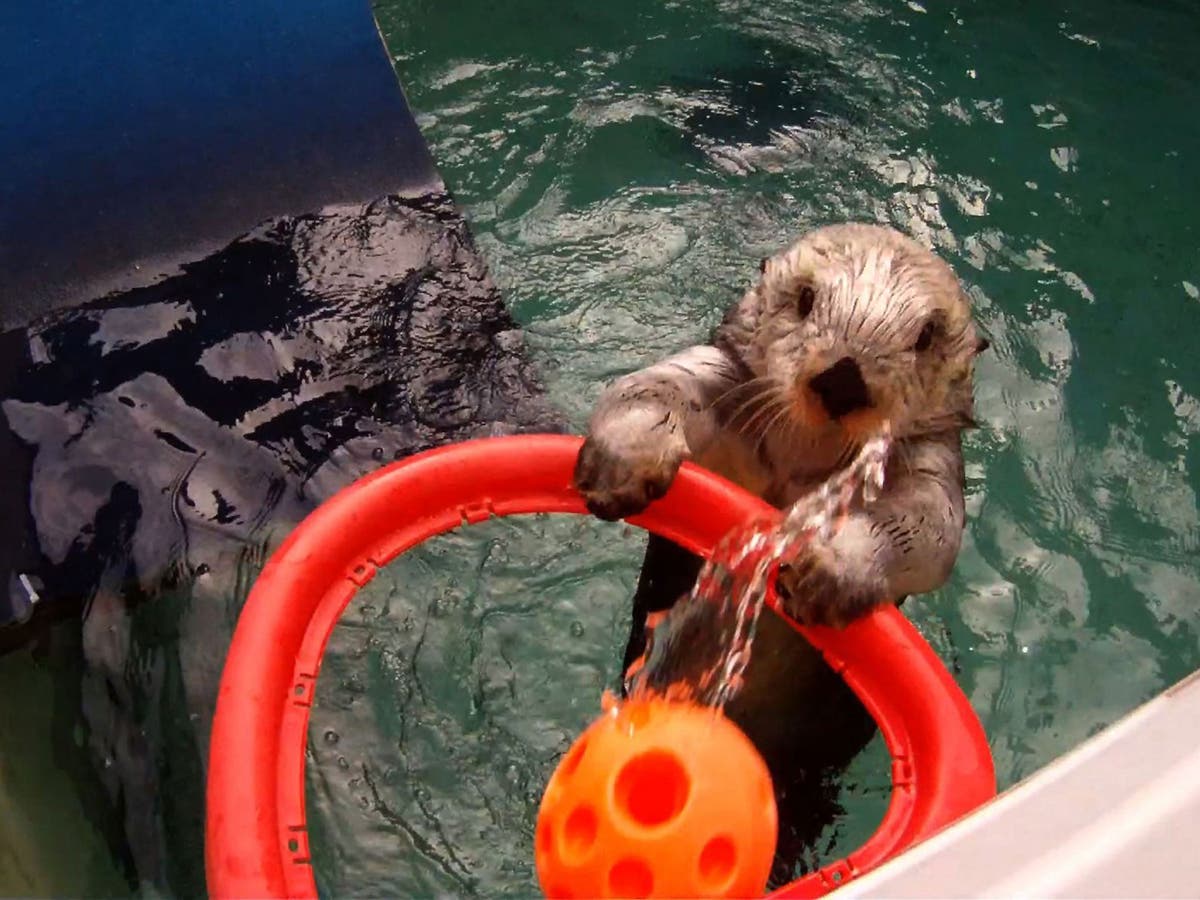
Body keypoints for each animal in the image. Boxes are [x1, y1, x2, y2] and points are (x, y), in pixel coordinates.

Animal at [573, 222, 987, 879]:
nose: (843, 377)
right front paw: (623, 462)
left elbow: (927, 530)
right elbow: (648, 388)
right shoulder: (719, 381)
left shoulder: (930, 468)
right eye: (806, 299)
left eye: (925, 336)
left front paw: (832, 571)